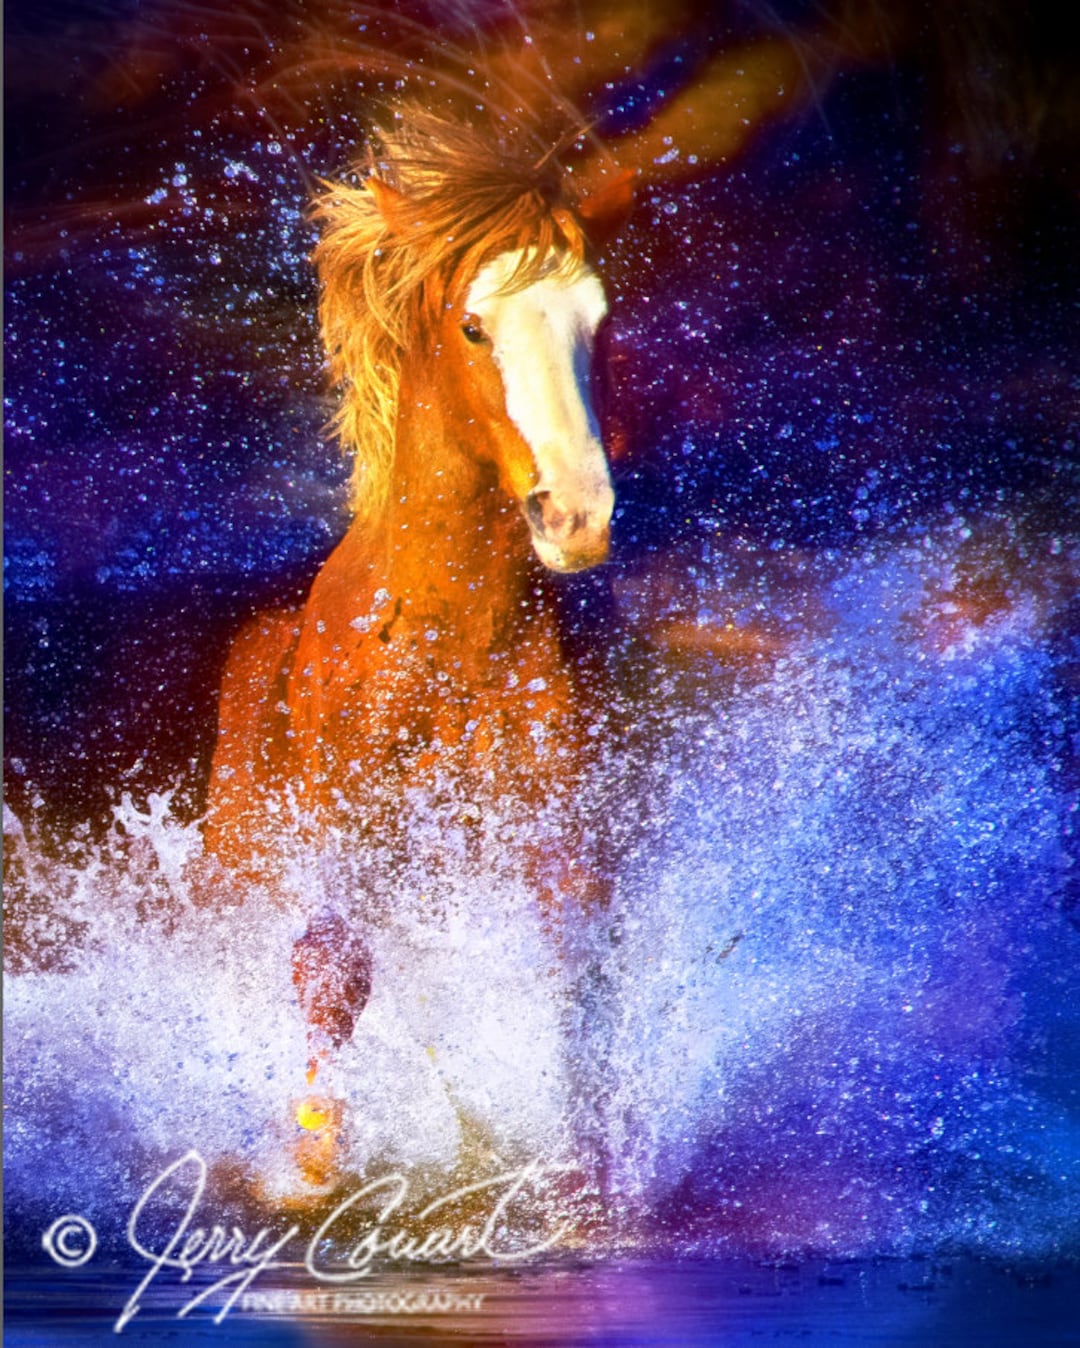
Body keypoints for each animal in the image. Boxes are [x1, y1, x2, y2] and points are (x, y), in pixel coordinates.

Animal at [202, 108, 634, 1167]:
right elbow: (332, 967)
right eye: (474, 326)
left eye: (596, 320)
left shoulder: (545, 824)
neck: (446, 642)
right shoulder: (342, 835)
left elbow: (569, 970)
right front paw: (312, 1157)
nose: (577, 516)